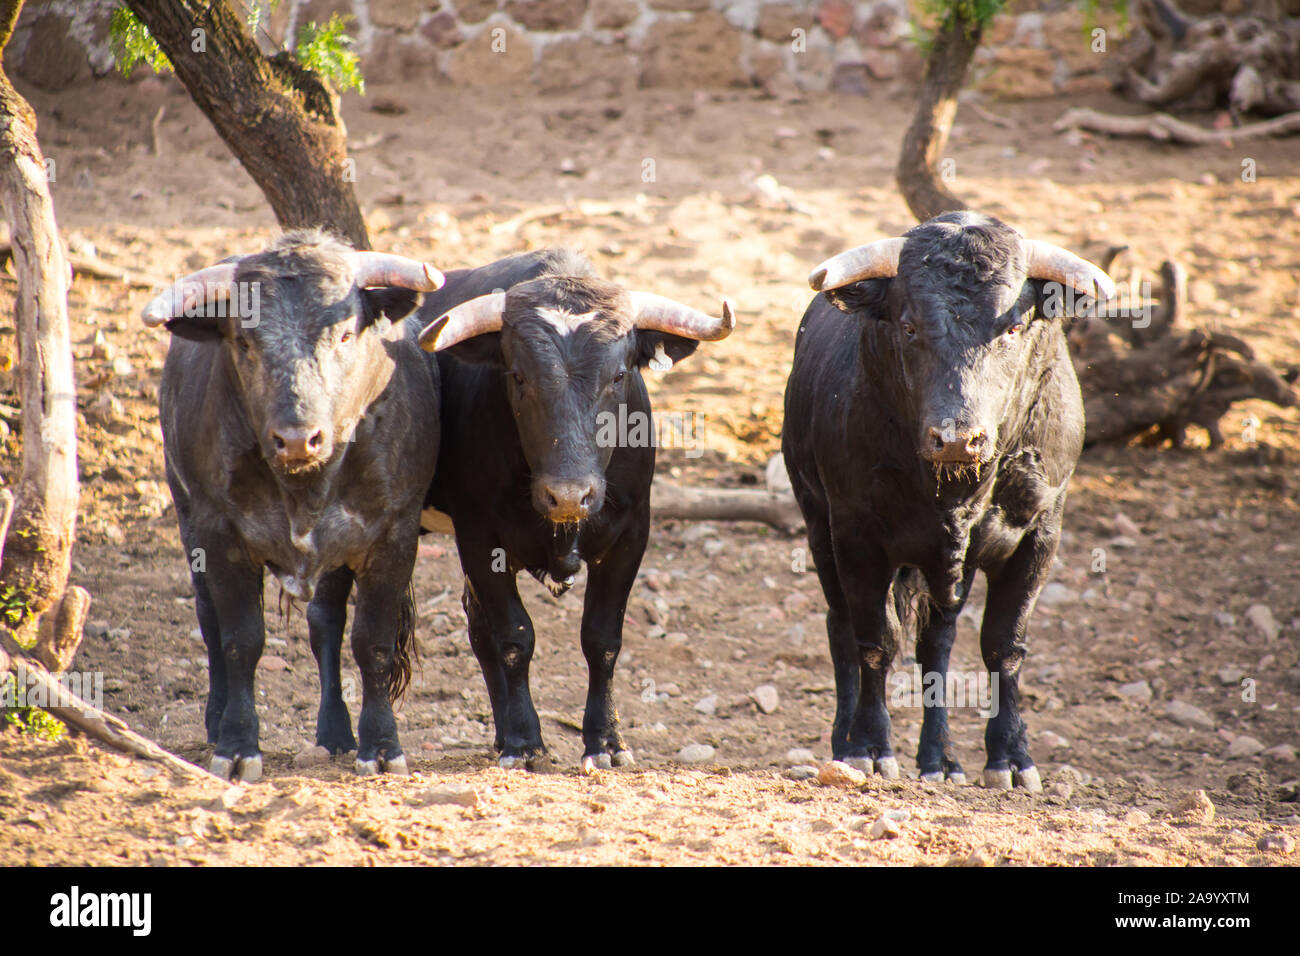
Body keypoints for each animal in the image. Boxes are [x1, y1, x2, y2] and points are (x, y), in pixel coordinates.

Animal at [141, 230, 445, 781]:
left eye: (345, 335)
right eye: (244, 342)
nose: (299, 438)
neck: (306, 485)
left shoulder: (393, 534)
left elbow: (373, 642)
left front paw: (381, 745)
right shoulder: (220, 534)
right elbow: (240, 638)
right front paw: (238, 745)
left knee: (325, 620)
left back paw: (336, 731)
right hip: (185, 515)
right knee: (209, 619)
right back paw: (217, 719)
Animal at [415, 248, 734, 773]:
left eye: (619, 376)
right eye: (518, 375)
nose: (568, 496)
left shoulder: (632, 534)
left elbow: (602, 640)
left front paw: (605, 740)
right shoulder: (478, 538)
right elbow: (513, 637)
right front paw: (525, 742)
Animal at [781, 211, 1115, 790]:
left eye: (1012, 327)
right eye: (909, 326)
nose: (957, 437)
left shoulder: (1039, 536)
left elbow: (1003, 644)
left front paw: (1011, 758)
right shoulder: (855, 535)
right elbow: (875, 640)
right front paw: (870, 748)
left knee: (935, 643)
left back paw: (940, 759)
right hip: (817, 522)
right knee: (841, 626)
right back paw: (845, 740)